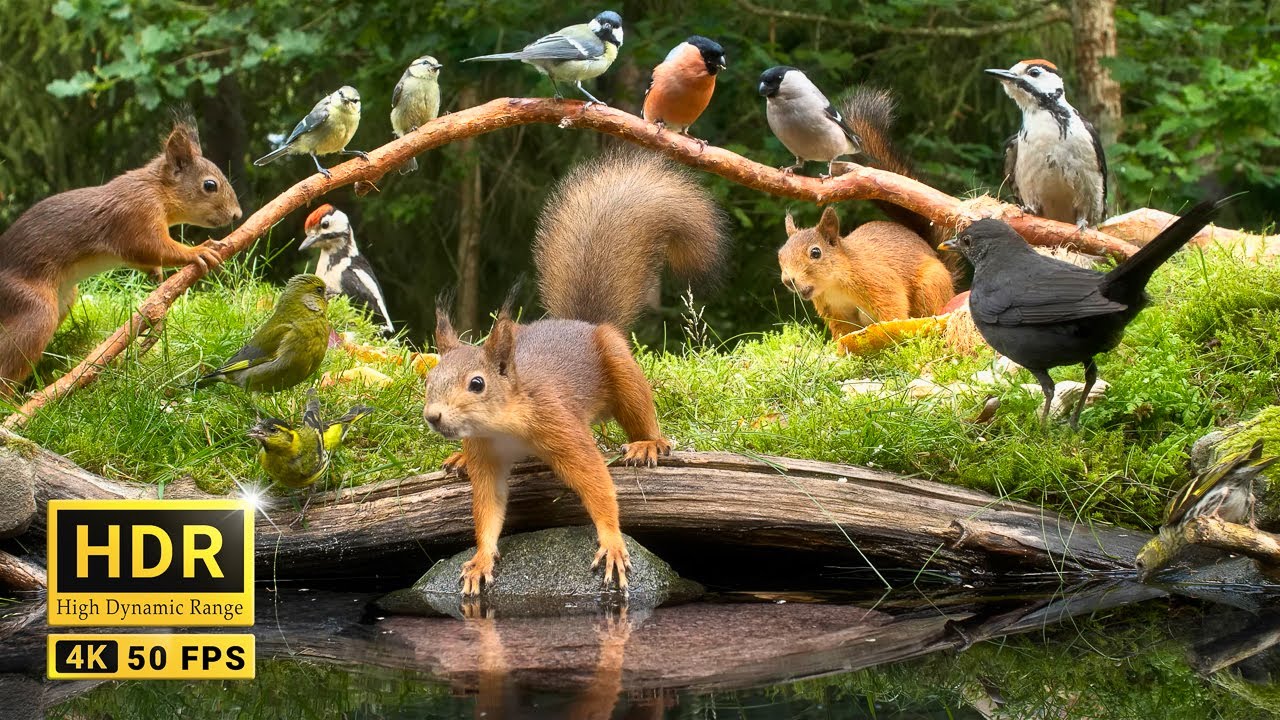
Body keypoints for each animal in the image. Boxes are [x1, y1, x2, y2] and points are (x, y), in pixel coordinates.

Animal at [0, 122, 242, 391]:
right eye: (210, 185)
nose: (237, 215)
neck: (157, 189)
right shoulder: (136, 214)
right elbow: (151, 247)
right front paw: (197, 251)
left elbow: (143, 258)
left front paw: (156, 275)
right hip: (33, 309)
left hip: (64, 298)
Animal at [424, 150, 727, 595]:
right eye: (427, 381)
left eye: (477, 384)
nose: (433, 417)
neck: (505, 423)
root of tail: (582, 324)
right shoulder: (485, 453)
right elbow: (489, 506)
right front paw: (481, 559)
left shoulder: (560, 426)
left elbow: (595, 482)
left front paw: (612, 541)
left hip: (619, 364)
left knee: (641, 413)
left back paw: (648, 444)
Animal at [777, 88, 955, 340]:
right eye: (780, 255)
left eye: (815, 253)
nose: (788, 280)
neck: (834, 284)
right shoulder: (834, 311)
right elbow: (843, 334)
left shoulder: (879, 282)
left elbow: (893, 309)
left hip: (930, 286)